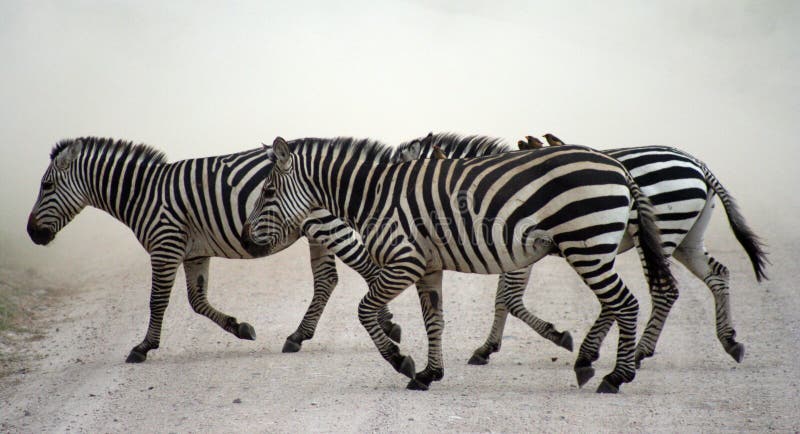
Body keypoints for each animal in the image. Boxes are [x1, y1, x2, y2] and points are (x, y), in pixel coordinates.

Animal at [26, 137, 404, 363]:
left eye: (46, 186)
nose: (31, 233)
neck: (142, 193)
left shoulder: (165, 245)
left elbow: (157, 300)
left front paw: (143, 347)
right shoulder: (194, 254)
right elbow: (197, 301)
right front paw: (241, 328)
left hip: (325, 224)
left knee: (367, 269)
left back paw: (386, 325)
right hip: (317, 231)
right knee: (328, 280)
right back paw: (299, 336)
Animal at [241, 136, 675, 393]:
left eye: (267, 192)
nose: (246, 238)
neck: (374, 194)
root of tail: (619, 167)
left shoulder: (404, 261)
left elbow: (365, 310)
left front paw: (400, 361)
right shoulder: (427, 266)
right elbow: (434, 320)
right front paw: (428, 374)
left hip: (588, 244)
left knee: (626, 303)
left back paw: (615, 376)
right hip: (594, 247)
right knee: (622, 303)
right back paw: (601, 365)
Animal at [401, 133, 768, 368]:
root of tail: (698, 164)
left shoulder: (515, 247)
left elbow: (508, 299)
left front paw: (542, 338)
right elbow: (505, 299)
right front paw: (489, 348)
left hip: (659, 234)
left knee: (662, 291)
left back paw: (636, 352)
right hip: (685, 237)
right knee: (717, 274)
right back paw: (729, 340)